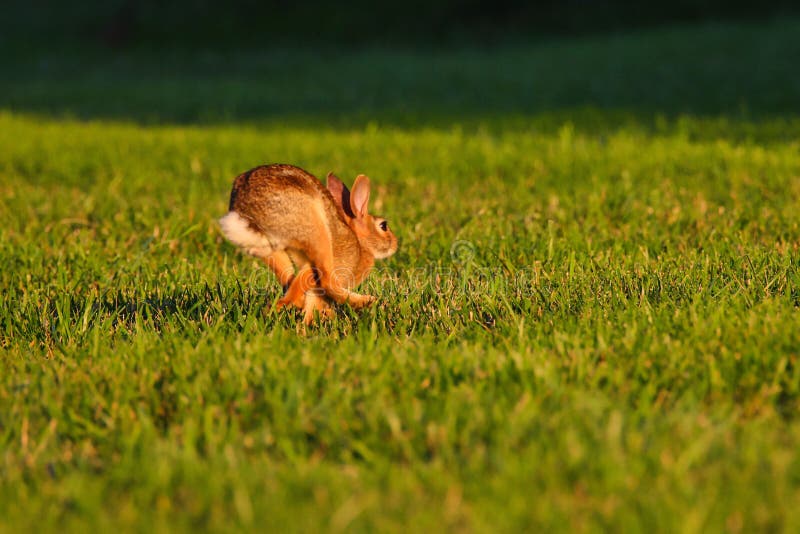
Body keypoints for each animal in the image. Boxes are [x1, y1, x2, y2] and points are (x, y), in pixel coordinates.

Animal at [219, 163, 398, 324]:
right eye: (383, 226)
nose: (395, 244)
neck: (360, 243)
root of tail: (246, 213)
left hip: (271, 251)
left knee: (287, 282)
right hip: (317, 233)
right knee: (326, 281)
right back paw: (367, 301)